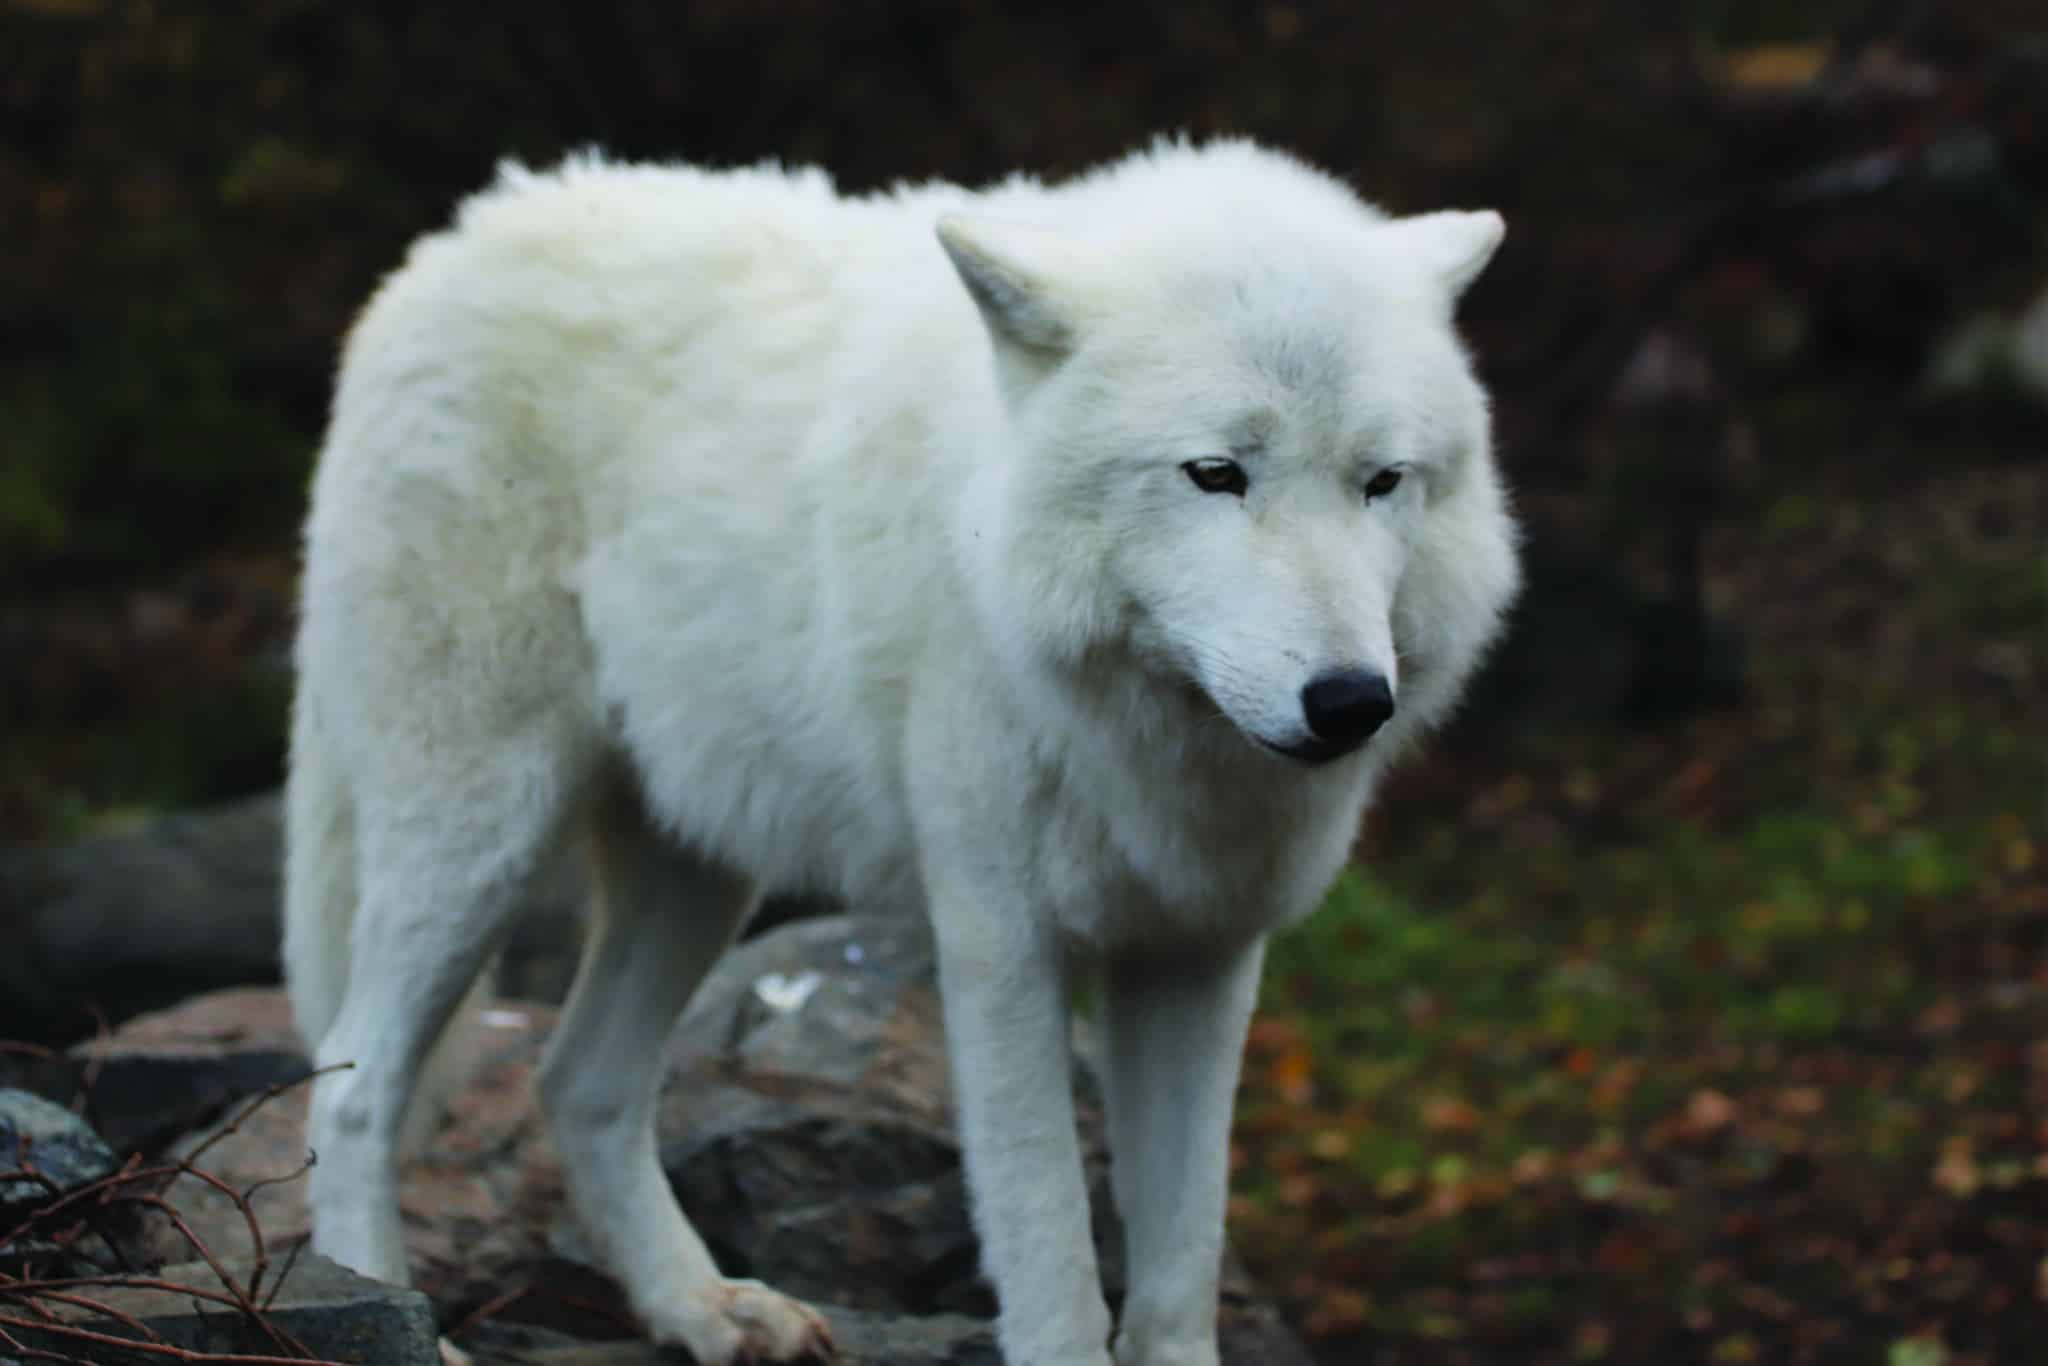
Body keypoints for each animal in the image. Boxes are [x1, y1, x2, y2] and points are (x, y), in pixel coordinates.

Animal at [283, 138, 1519, 1366]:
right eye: (1216, 473)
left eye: (1381, 480)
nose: (1349, 701)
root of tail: (445, 247)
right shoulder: (998, 939)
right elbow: (1051, 1251)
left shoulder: (1199, 953)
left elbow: (1179, 1265)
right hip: (477, 837)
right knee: (350, 1083)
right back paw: (391, 1298)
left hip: (699, 865)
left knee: (575, 1082)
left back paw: (706, 1308)